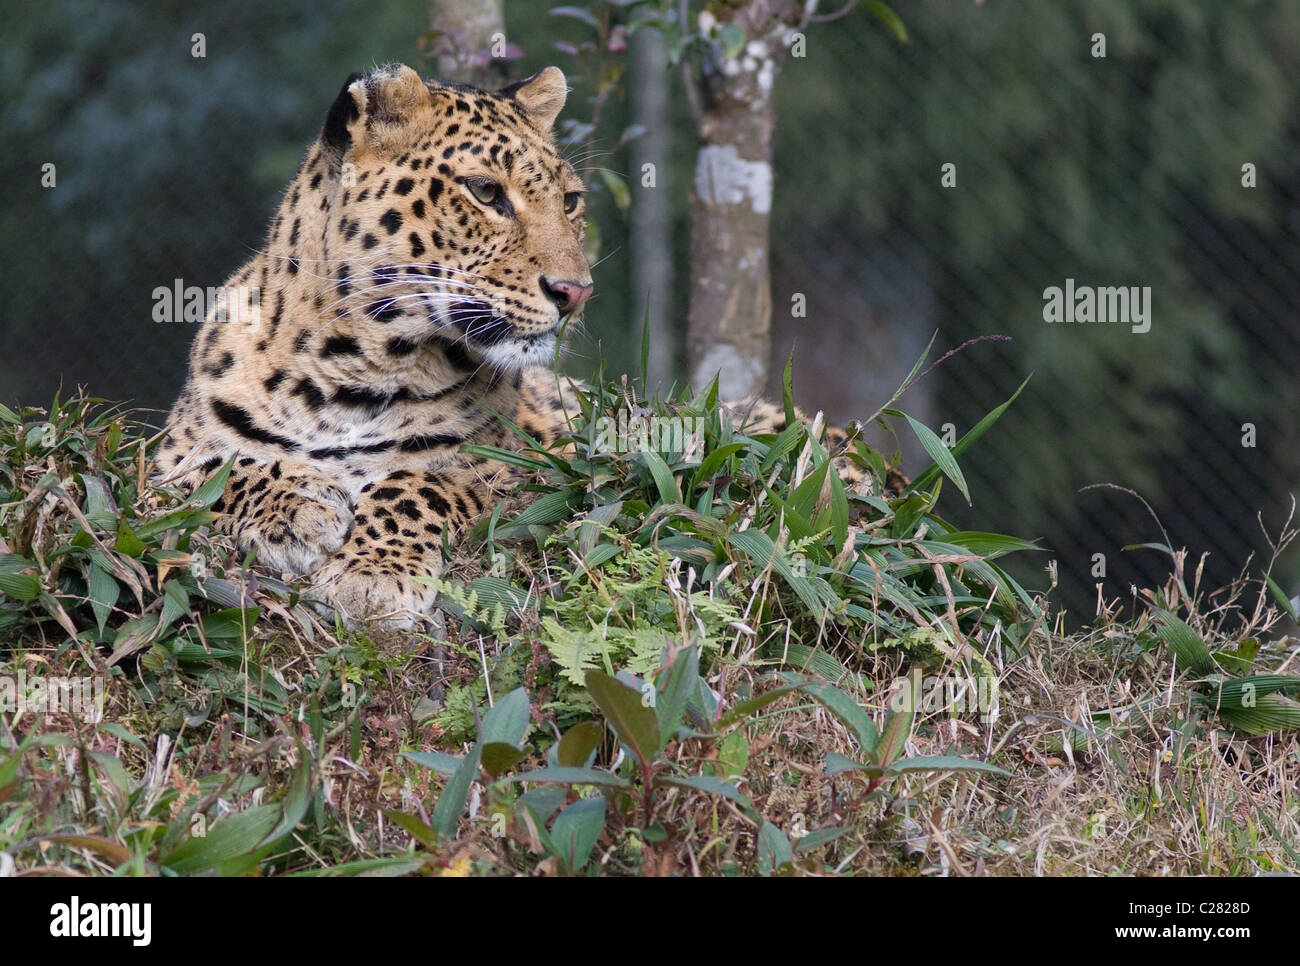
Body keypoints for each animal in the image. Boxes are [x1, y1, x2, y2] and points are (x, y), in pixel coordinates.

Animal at [155, 63, 894, 630]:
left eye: (571, 201)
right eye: (486, 192)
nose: (576, 292)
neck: (346, 370)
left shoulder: (508, 468)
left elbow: (415, 482)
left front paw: (373, 575)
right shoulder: (158, 459)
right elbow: (222, 468)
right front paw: (298, 508)